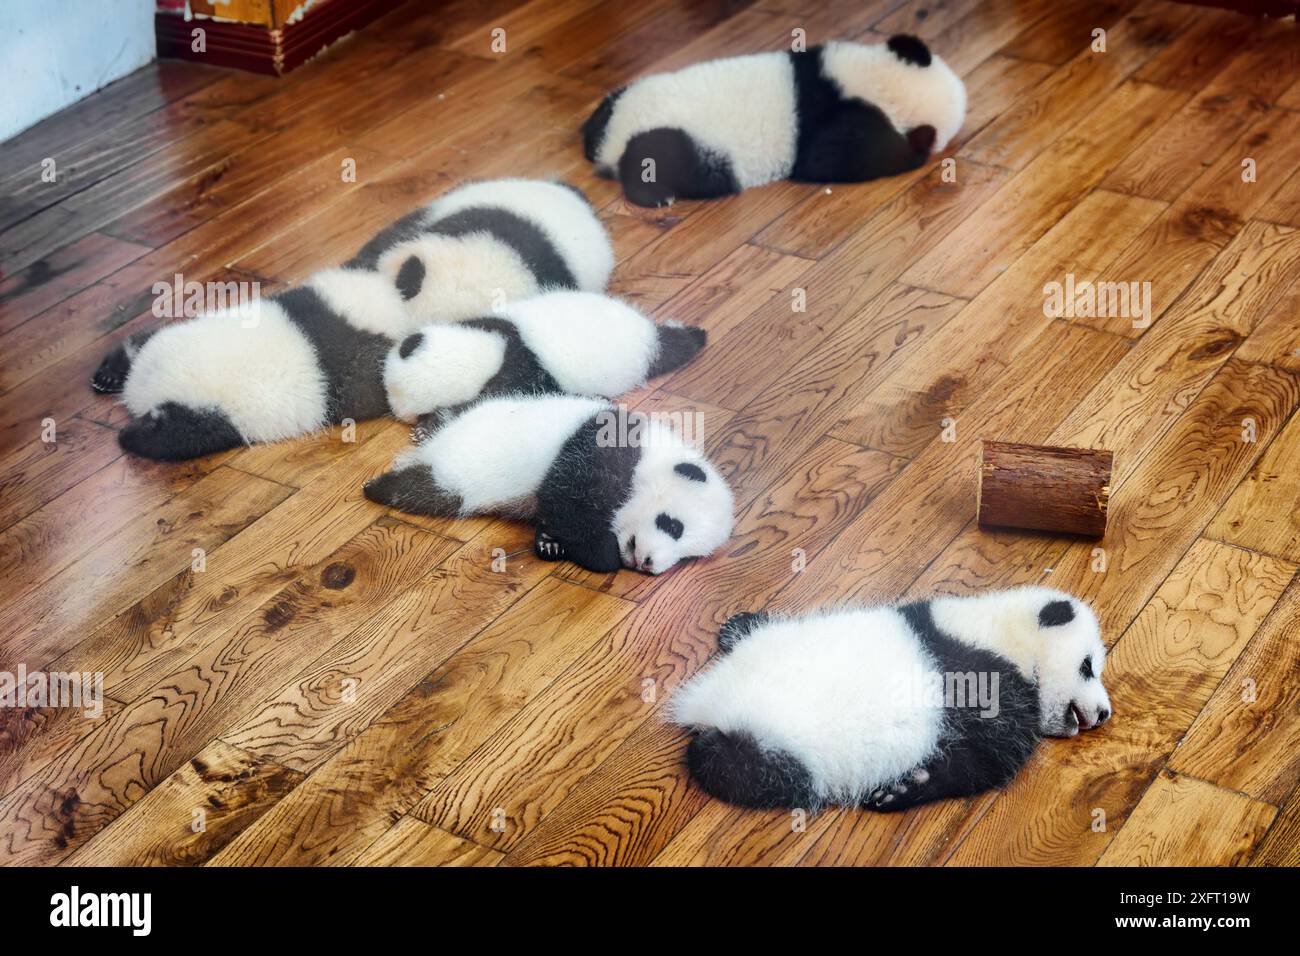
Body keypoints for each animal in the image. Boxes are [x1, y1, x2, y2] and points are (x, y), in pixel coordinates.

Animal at [363, 394, 735, 575]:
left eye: (687, 556)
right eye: (672, 525)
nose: (648, 563)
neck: (653, 458)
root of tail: (432, 448)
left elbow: (555, 513)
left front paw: (549, 543)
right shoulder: (606, 448)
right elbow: (569, 498)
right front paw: (603, 554)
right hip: (460, 472)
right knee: (423, 491)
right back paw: (380, 485)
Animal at [582, 34, 966, 207]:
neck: (883, 89)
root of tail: (613, 141)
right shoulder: (854, 132)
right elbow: (831, 158)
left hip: (628, 94)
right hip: (691, 146)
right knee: (663, 159)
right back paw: (654, 193)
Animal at [670, 587, 1112, 811]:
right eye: (1088, 666)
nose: (1105, 712)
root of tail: (708, 701)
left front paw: (901, 788)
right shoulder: (988, 680)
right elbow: (986, 759)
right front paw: (900, 790)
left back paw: (738, 628)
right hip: (782, 749)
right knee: (740, 767)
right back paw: (709, 748)